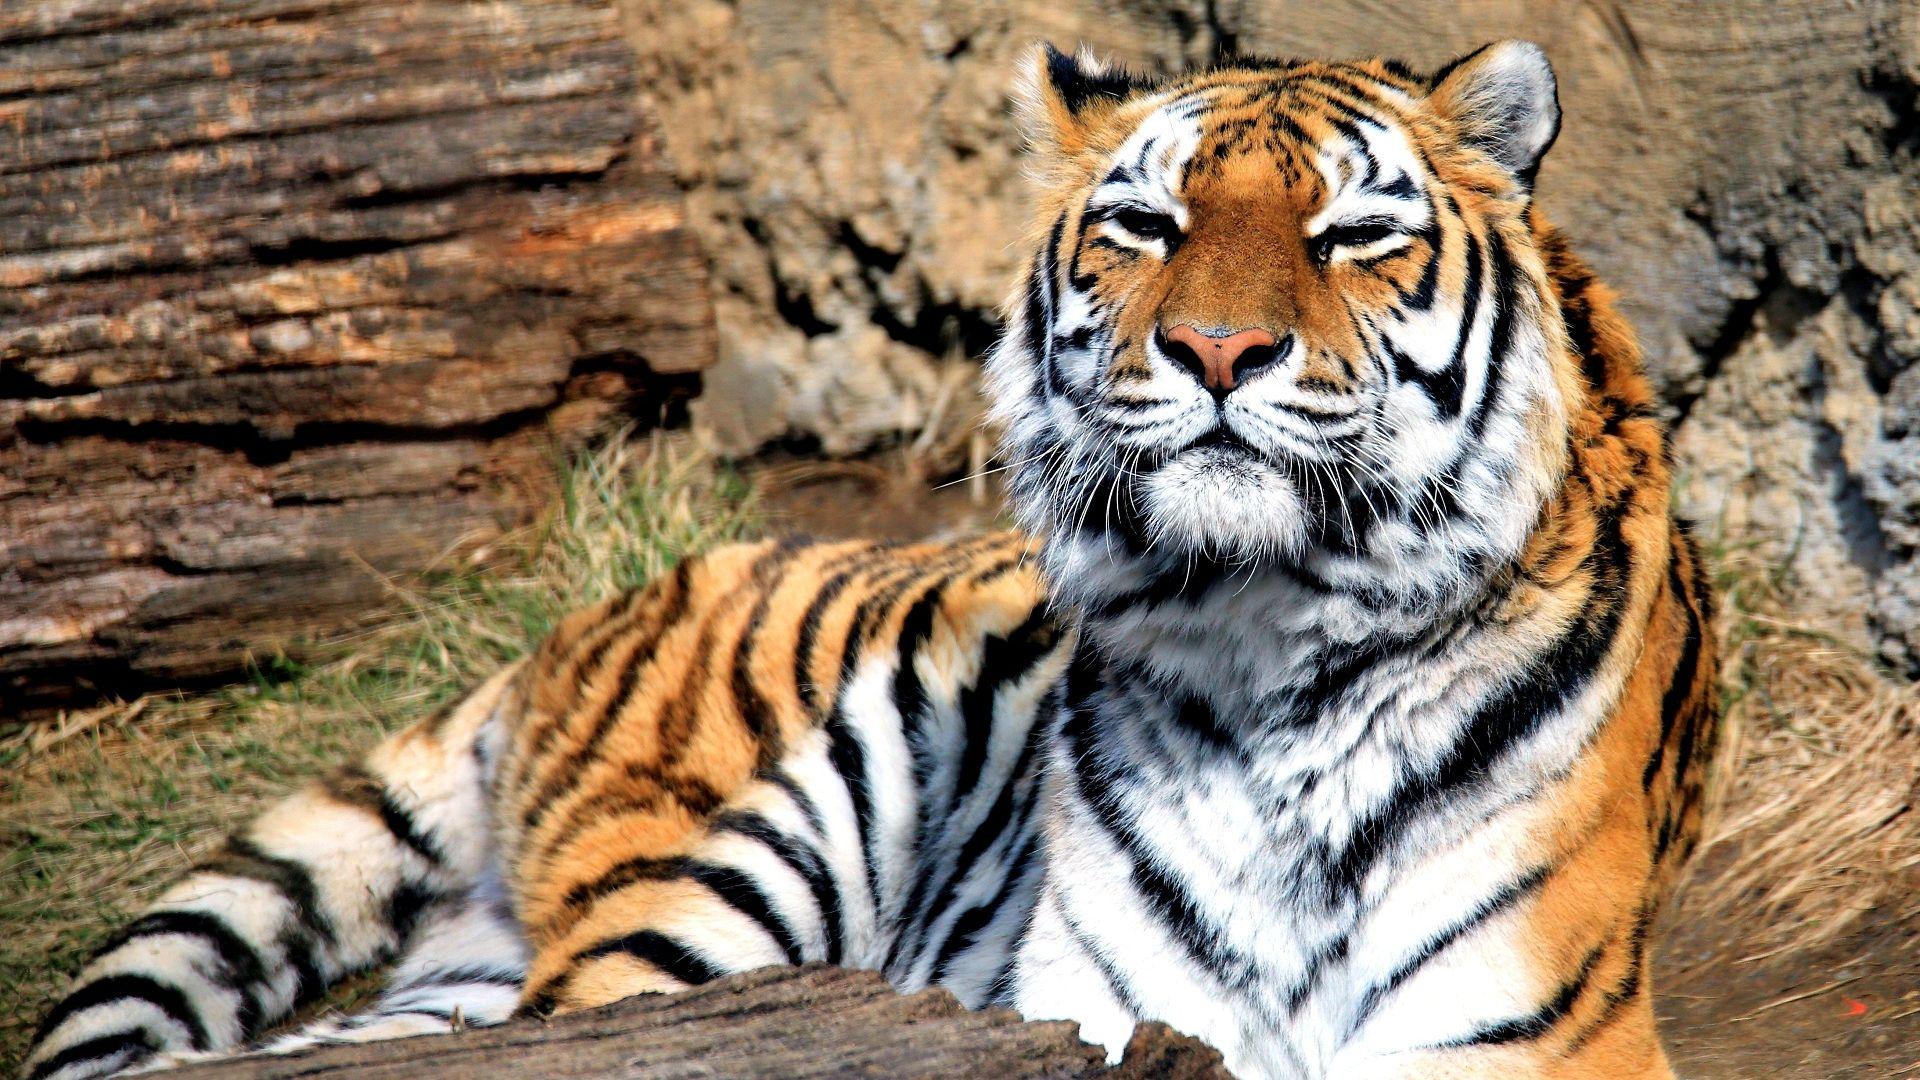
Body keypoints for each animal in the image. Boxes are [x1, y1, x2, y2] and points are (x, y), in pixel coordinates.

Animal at [22, 39, 1719, 1080]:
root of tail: (608, 605)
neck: (1264, 641)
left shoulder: (1520, 1040)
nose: (1218, 352)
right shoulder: (1096, 1012)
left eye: (1354, 237)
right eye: (1148, 225)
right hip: (744, 867)